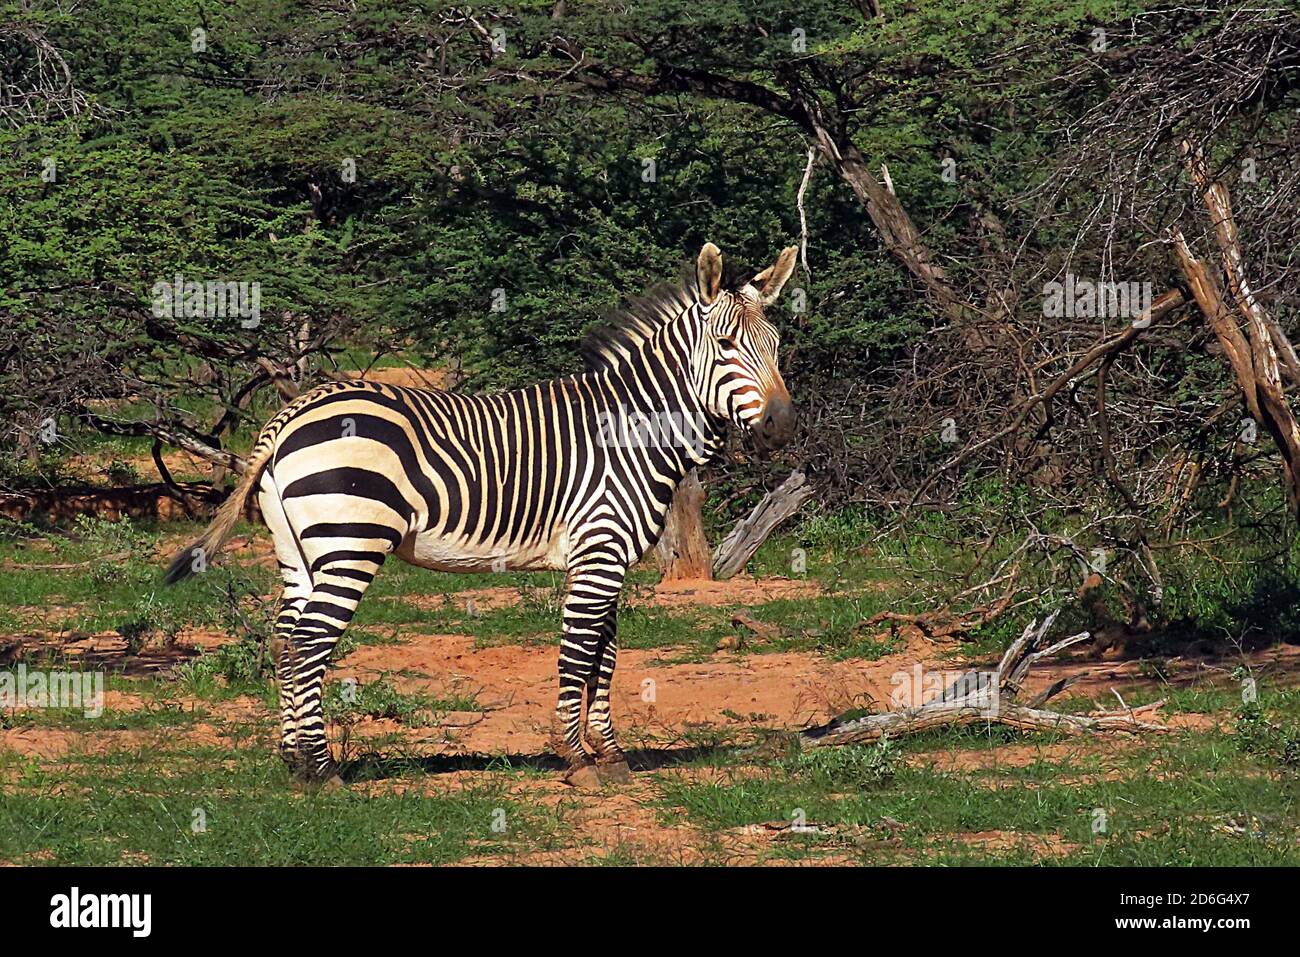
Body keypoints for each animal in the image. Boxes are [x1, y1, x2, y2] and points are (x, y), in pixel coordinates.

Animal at [164, 242, 798, 789]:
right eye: (725, 345)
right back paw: (323, 772)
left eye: (774, 344)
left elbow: (605, 656)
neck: (632, 431)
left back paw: (294, 762)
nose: (783, 427)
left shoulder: (607, 559)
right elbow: (579, 654)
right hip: (351, 541)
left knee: (285, 640)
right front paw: (578, 760)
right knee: (309, 643)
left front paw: (611, 755)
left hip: (299, 550)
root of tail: (292, 412)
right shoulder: (598, 554)